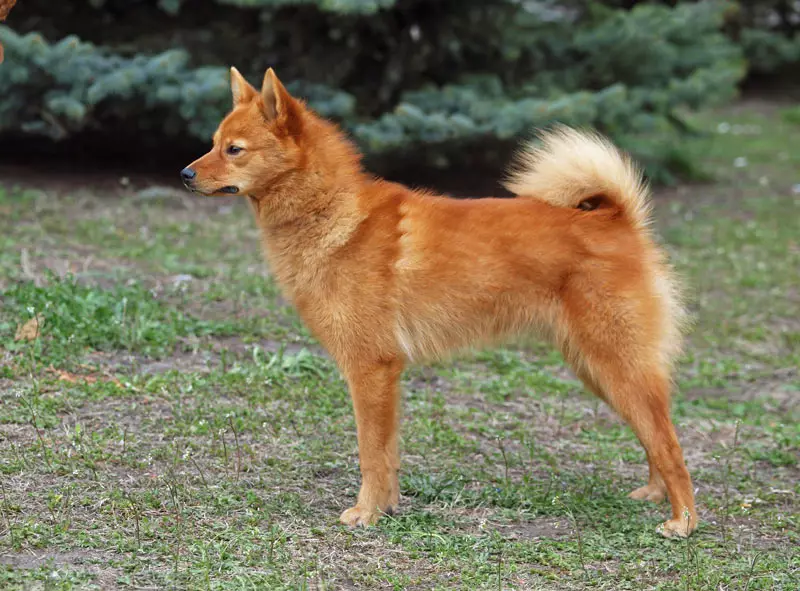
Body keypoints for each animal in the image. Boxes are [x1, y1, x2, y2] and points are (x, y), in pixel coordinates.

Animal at [184, 67, 696, 540]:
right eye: (212, 143)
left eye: (234, 149)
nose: (185, 174)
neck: (331, 212)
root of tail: (617, 219)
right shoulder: (384, 377)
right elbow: (388, 455)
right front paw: (387, 508)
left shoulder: (371, 369)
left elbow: (370, 454)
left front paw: (365, 513)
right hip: (599, 369)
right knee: (656, 434)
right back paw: (655, 494)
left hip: (615, 365)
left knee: (670, 444)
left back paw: (683, 521)